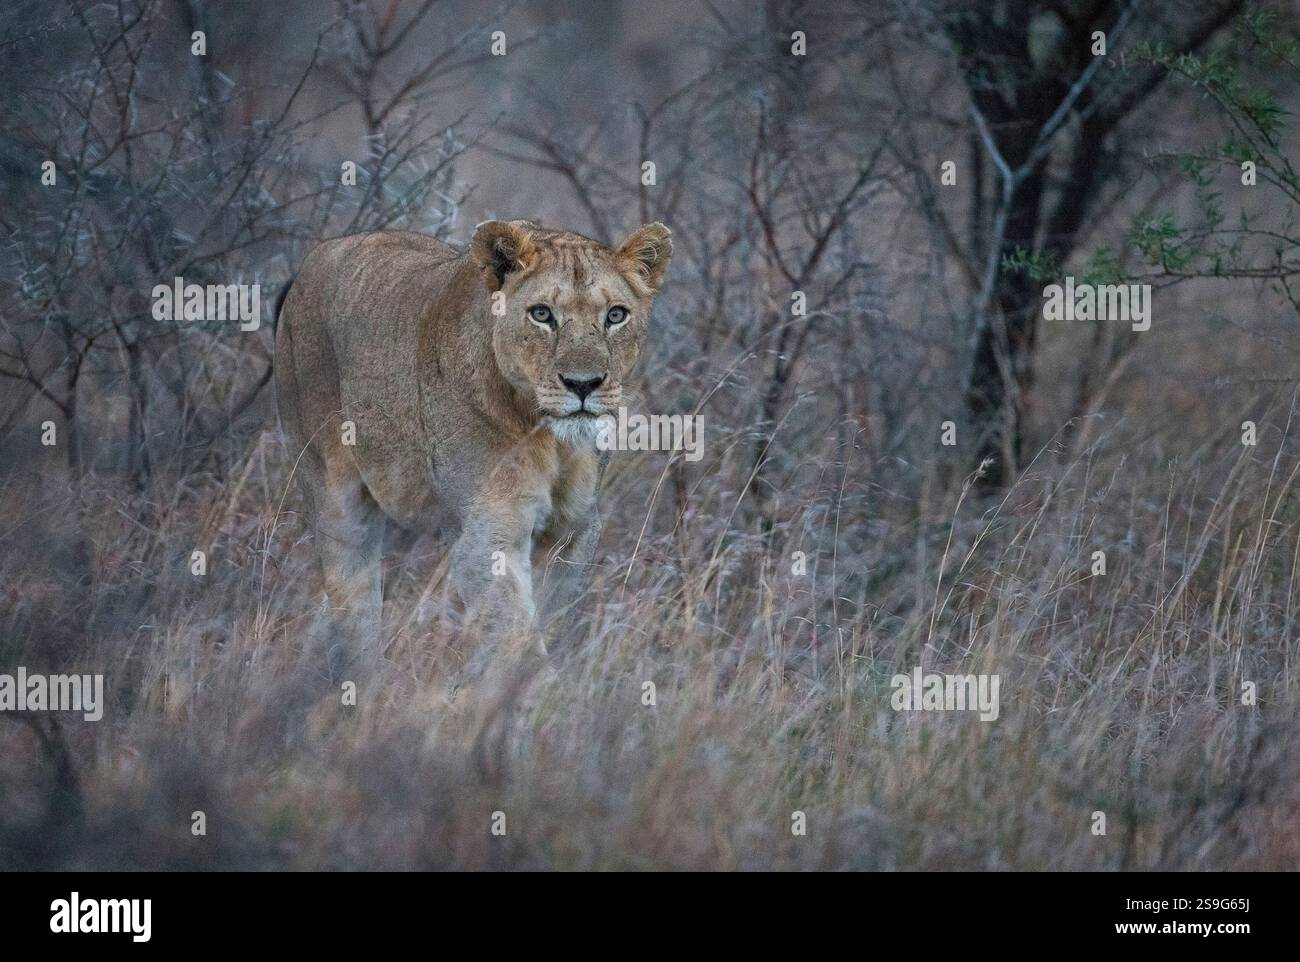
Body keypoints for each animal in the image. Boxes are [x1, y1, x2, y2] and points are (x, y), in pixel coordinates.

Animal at [274, 219, 672, 672]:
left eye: (615, 316)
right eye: (542, 314)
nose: (584, 384)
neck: (550, 439)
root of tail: (315, 258)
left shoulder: (575, 527)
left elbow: (551, 614)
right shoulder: (485, 529)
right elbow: (514, 628)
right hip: (333, 495)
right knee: (353, 604)